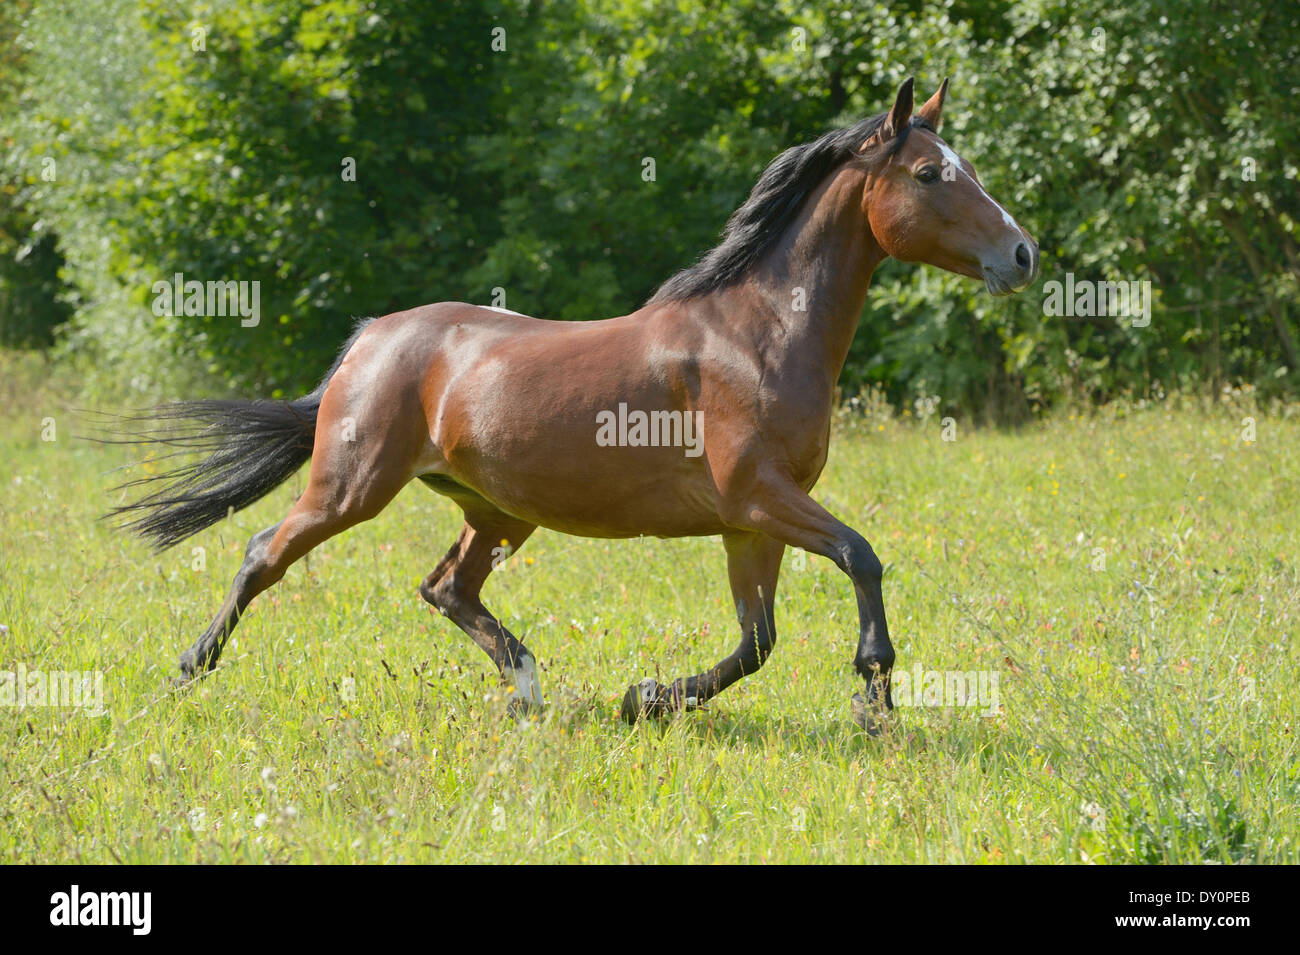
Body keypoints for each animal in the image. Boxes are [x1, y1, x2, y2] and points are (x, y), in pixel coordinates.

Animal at [107, 78, 1038, 729]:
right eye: (930, 173)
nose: (1023, 254)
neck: (759, 332)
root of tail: (368, 338)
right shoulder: (760, 497)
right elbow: (861, 557)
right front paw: (876, 696)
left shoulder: (749, 521)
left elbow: (757, 640)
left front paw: (645, 698)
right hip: (352, 486)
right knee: (266, 550)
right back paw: (188, 669)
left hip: (497, 510)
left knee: (447, 588)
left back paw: (528, 689)